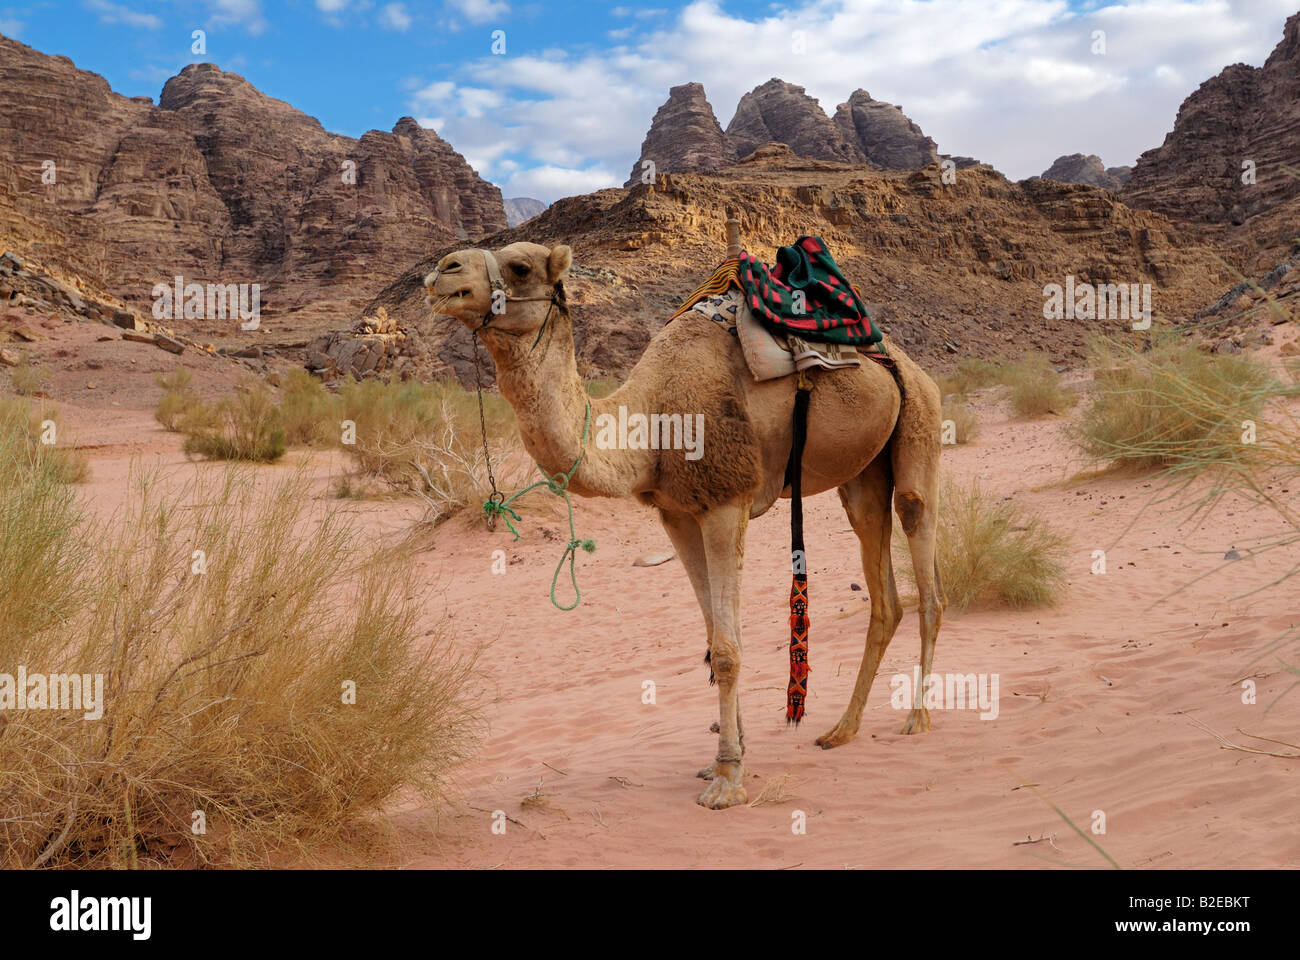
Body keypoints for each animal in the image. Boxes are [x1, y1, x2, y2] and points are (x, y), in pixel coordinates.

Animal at [425, 240, 945, 809]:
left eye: (519, 267)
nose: (442, 272)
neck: (651, 422)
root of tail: (901, 360)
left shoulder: (726, 499)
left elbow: (728, 649)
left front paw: (728, 780)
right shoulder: (676, 513)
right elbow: (713, 637)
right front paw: (722, 759)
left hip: (920, 419)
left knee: (922, 549)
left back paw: (917, 719)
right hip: (863, 475)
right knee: (882, 583)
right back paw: (841, 730)